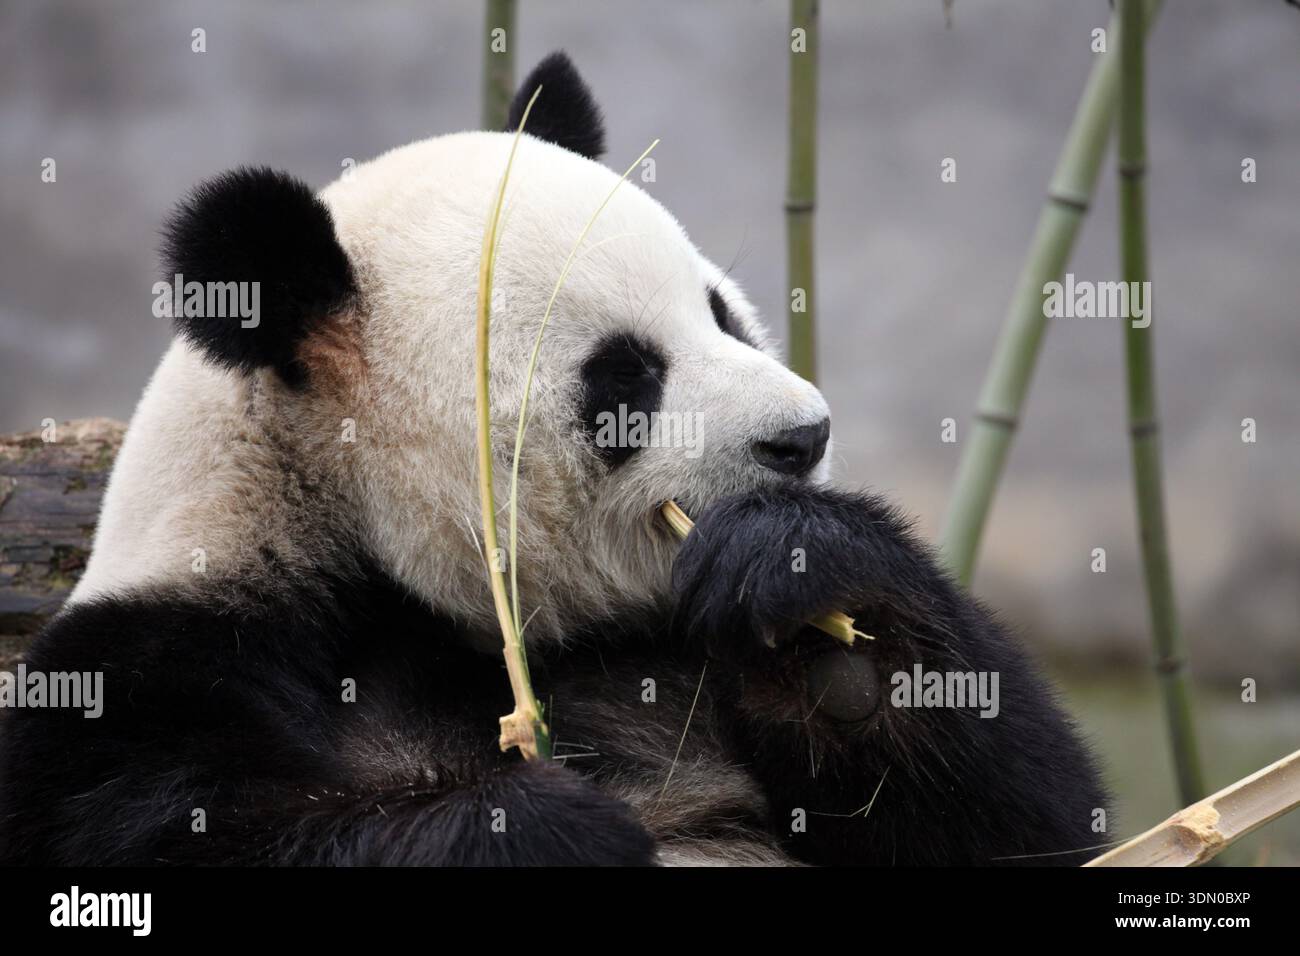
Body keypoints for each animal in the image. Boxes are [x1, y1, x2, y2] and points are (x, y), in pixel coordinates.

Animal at [0, 53, 1106, 866]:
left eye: (721, 312)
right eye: (625, 376)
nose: (803, 437)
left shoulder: (670, 651)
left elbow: (1036, 825)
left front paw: (812, 591)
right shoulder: (141, 699)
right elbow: (210, 833)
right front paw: (551, 825)